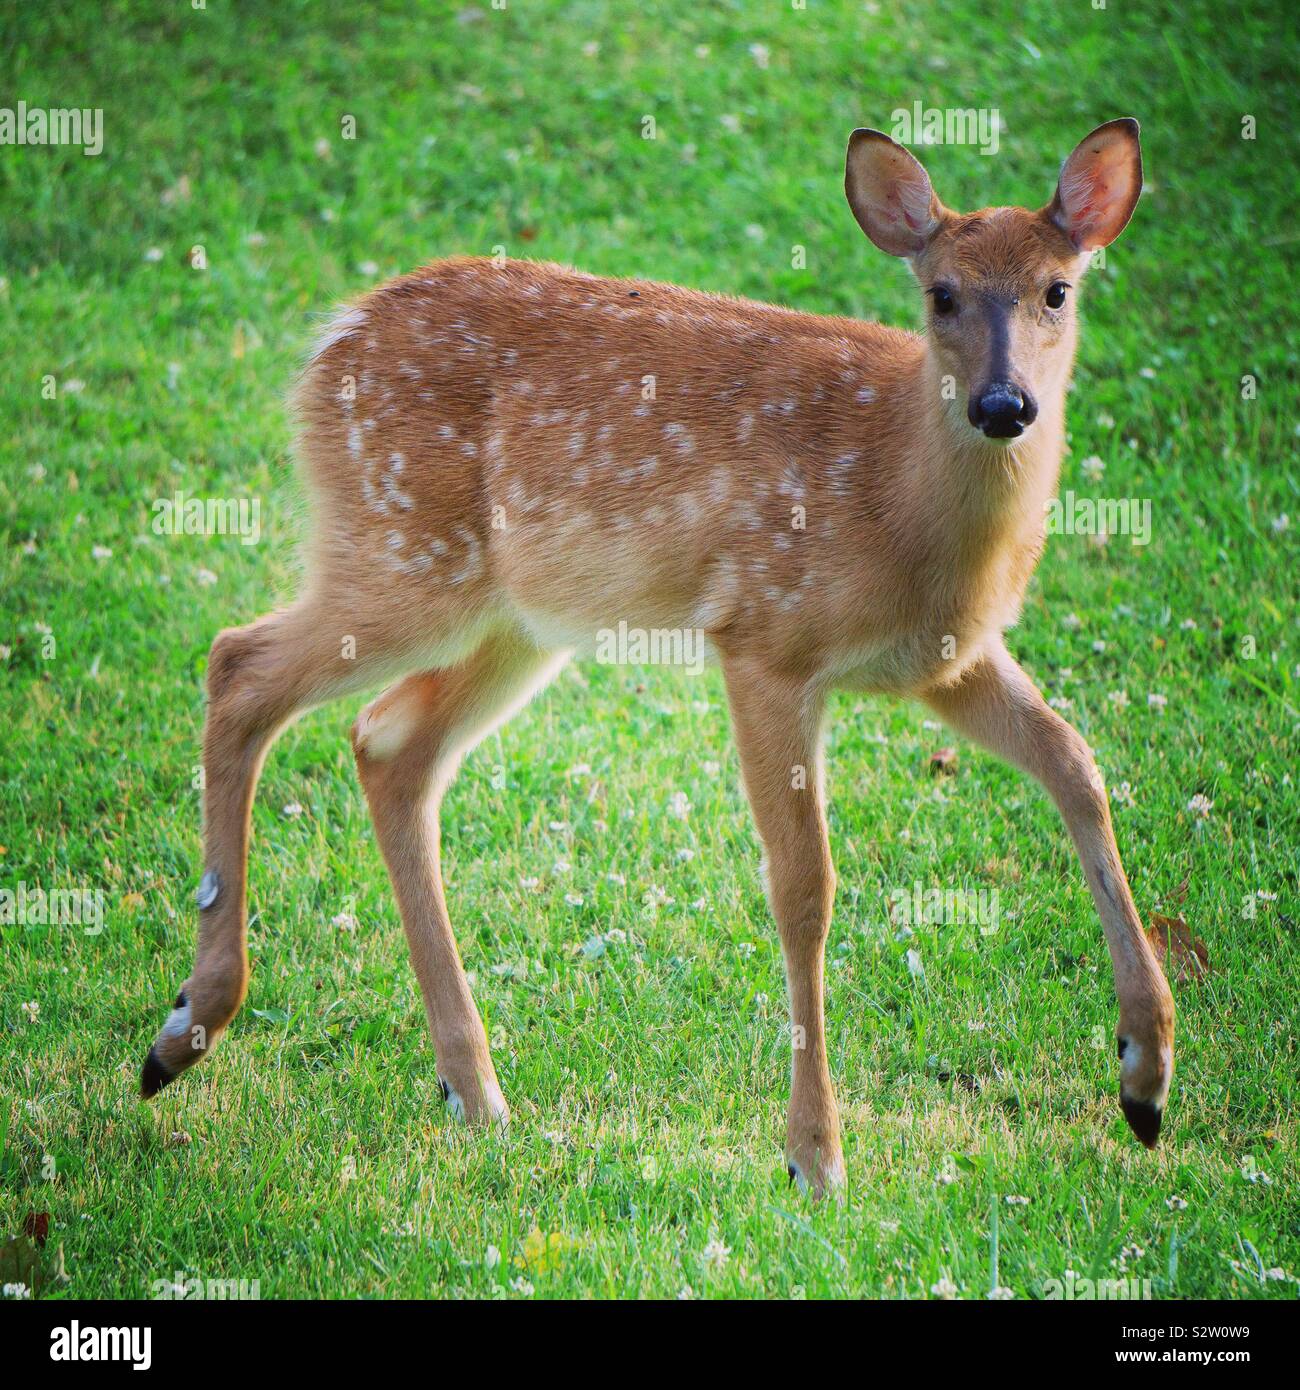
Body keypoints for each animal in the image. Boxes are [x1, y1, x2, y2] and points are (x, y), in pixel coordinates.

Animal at [142, 118, 1173, 1199]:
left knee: (387, 741)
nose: (1003, 404)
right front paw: (814, 1156)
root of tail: (328, 339)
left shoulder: (946, 662)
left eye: (1057, 289)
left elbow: (1076, 764)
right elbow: (804, 888)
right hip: (401, 554)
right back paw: (184, 1031)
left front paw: (1144, 1079)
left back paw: (473, 1089)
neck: (901, 501)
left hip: (518, 619)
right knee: (238, 664)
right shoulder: (763, 639)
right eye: (940, 293)